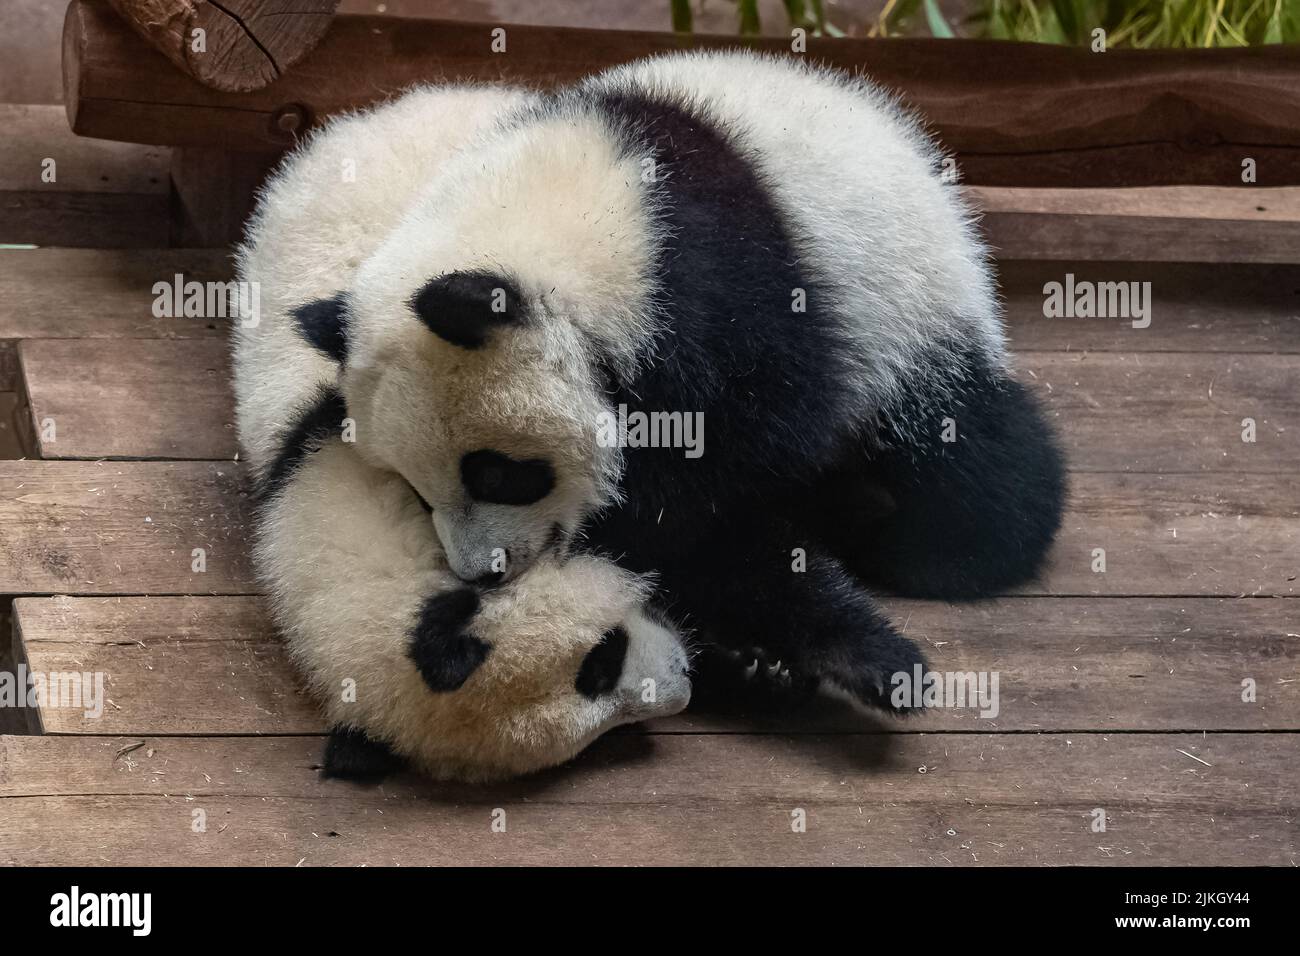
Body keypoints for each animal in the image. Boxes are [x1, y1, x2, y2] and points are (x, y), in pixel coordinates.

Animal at [236, 50, 1065, 779]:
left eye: (499, 474)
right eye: (412, 488)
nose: (484, 569)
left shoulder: (731, 313)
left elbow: (717, 501)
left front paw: (864, 657)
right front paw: (761, 656)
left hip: (907, 298)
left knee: (964, 458)